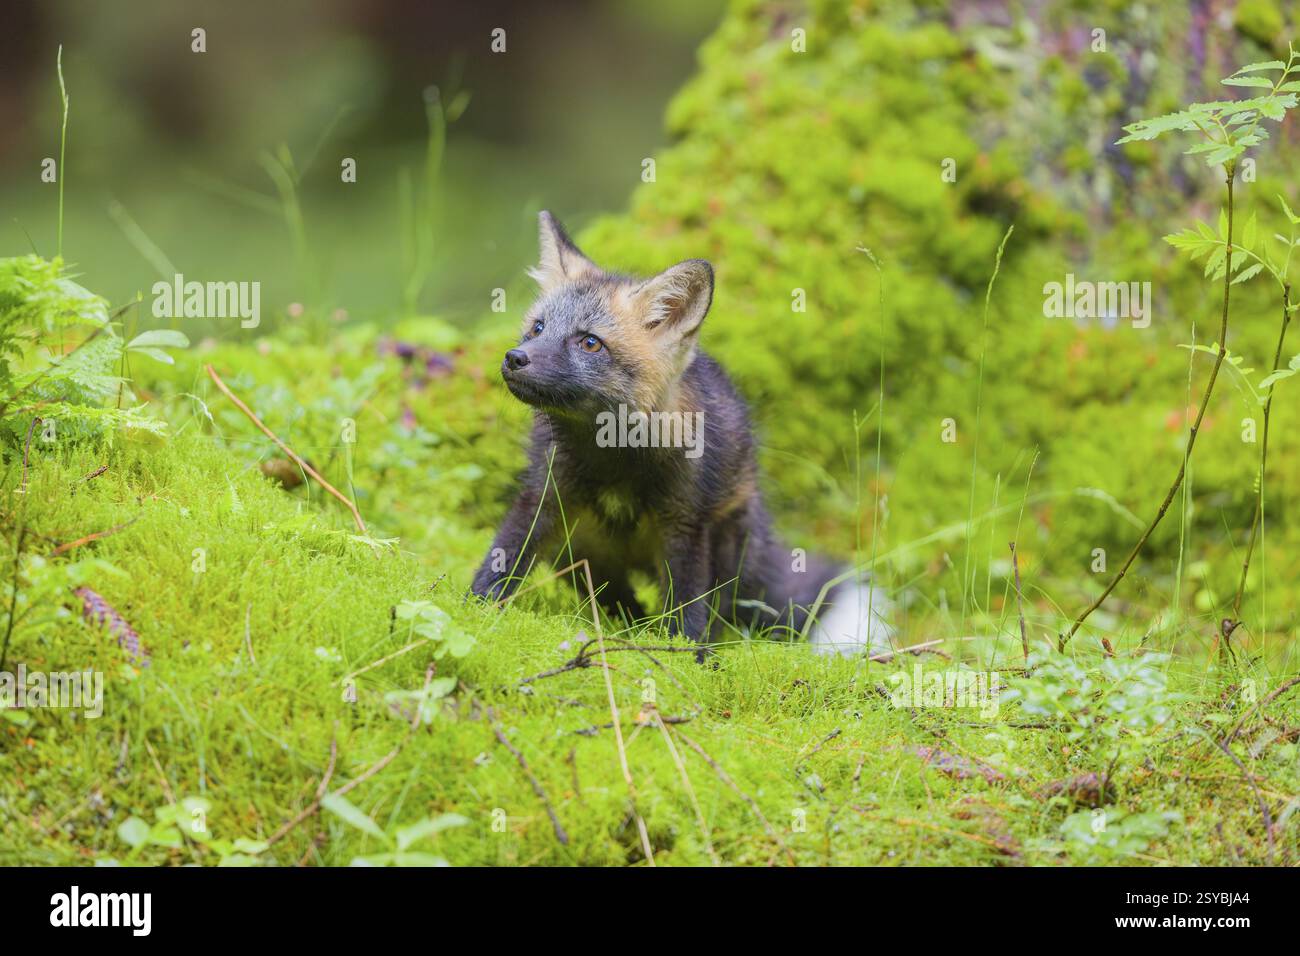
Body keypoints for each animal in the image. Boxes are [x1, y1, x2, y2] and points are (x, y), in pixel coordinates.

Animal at [471, 211, 892, 659]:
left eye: (590, 343)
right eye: (537, 328)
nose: (515, 358)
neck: (614, 461)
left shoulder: (685, 521)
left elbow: (688, 605)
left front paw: (687, 656)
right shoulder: (547, 495)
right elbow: (506, 554)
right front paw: (476, 609)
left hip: (729, 543)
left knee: (724, 609)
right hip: (581, 546)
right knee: (620, 602)